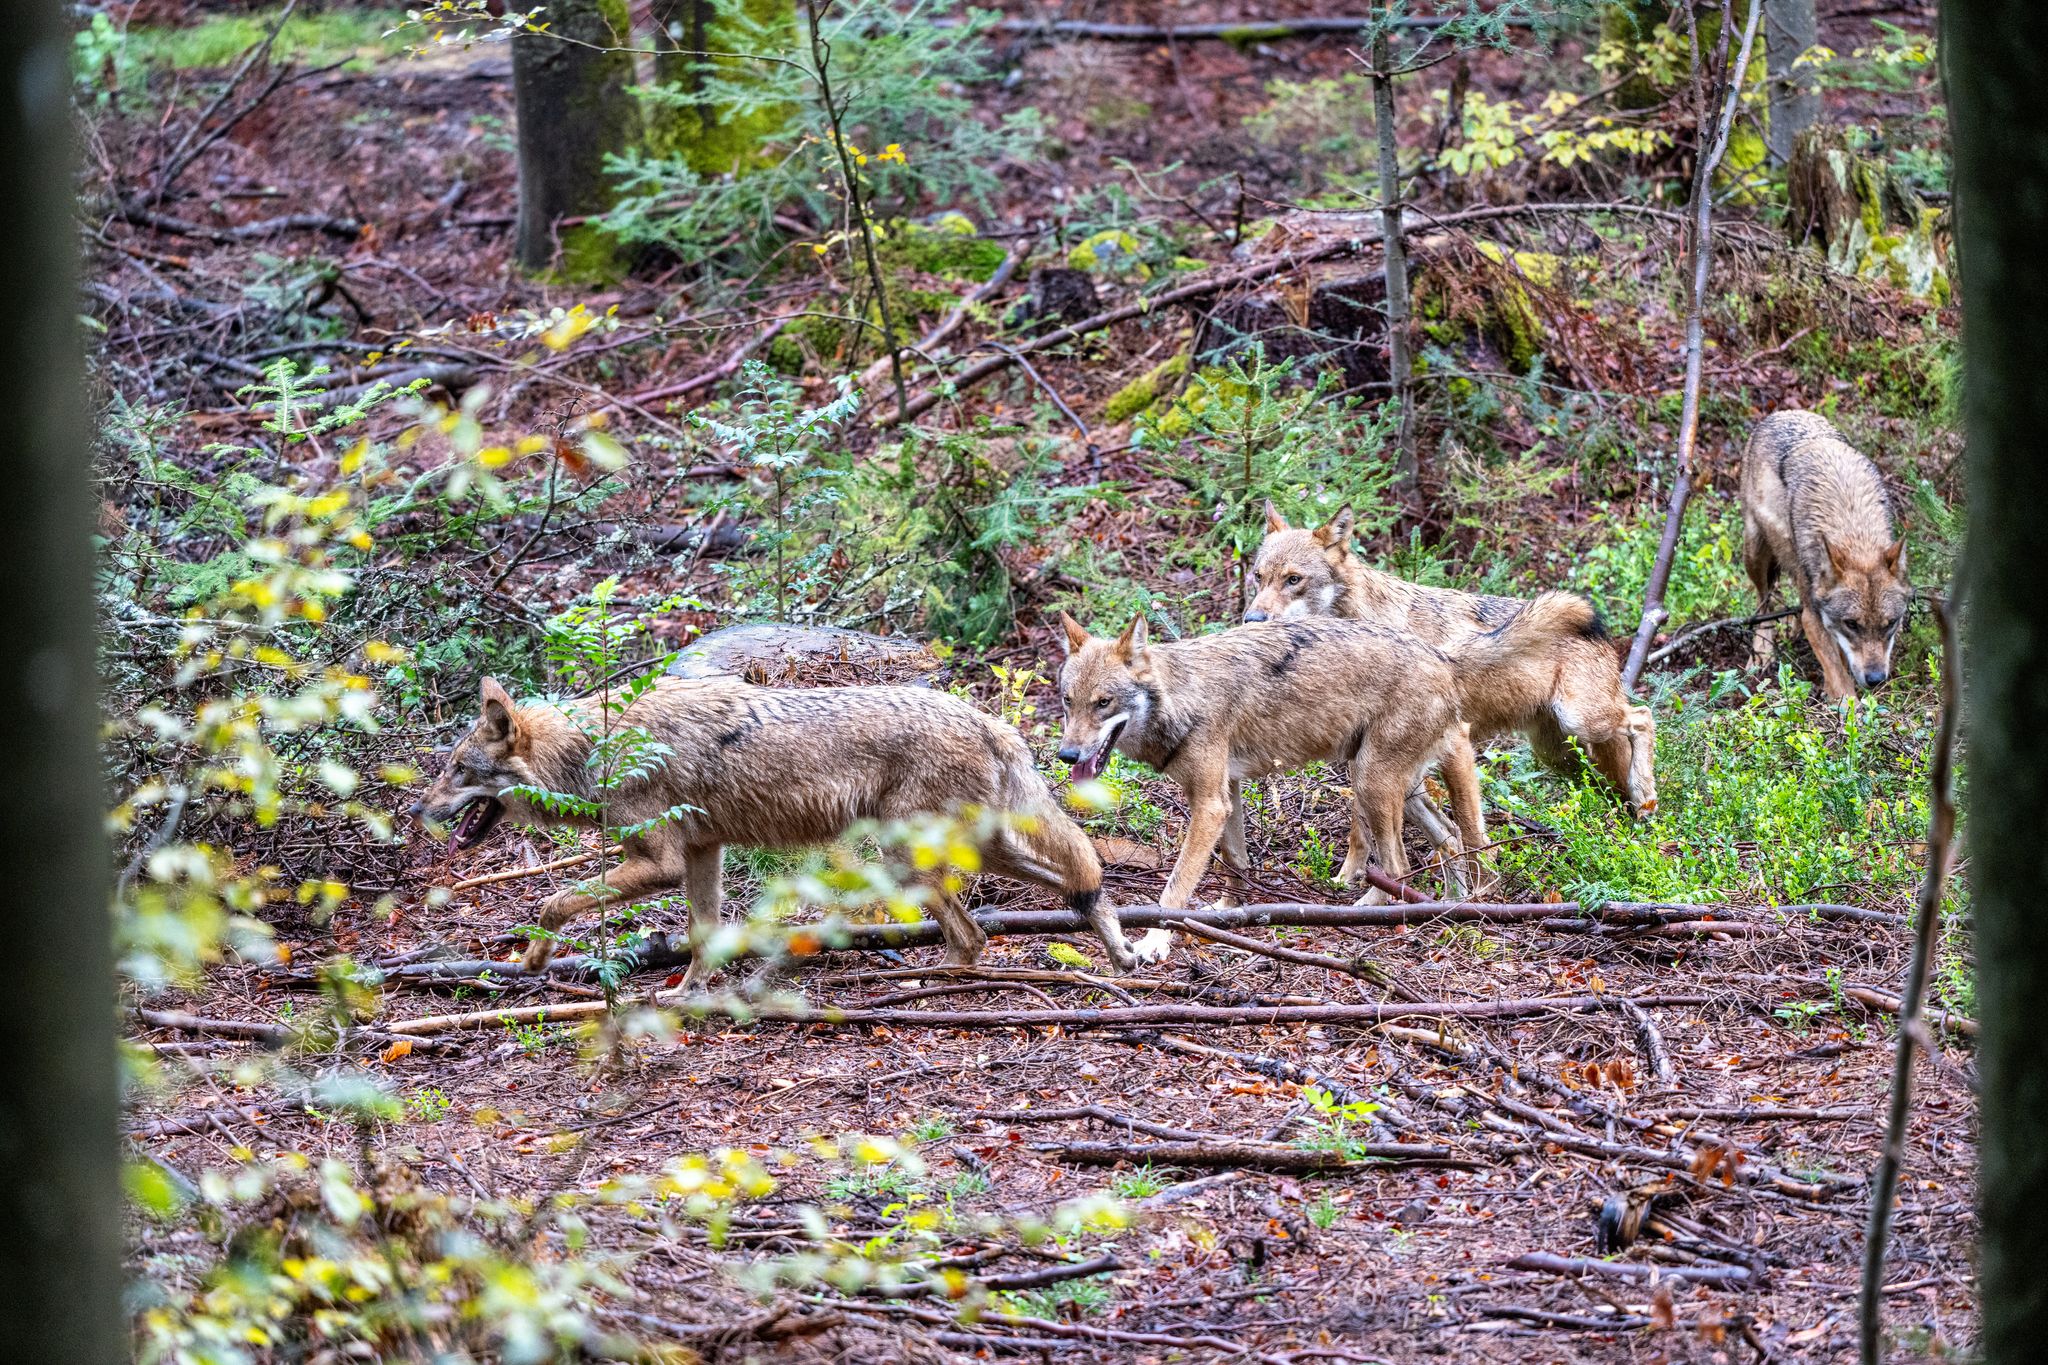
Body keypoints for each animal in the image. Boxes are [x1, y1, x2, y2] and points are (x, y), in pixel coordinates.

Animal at [415, 677, 1171, 985]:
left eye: (456, 770)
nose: (418, 812)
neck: (591, 750)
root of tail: (991, 720)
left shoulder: (661, 864)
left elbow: (549, 902)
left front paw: (533, 960)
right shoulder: (703, 854)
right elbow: (703, 936)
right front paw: (686, 996)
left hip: (908, 860)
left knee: (973, 936)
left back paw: (921, 983)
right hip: (976, 850)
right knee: (1080, 882)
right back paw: (1120, 953)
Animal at [1054, 613, 1489, 908]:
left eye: (1103, 702)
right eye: (1068, 701)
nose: (1067, 755)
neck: (1182, 698)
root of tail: (1444, 659)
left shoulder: (1209, 805)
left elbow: (1176, 887)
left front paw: (1153, 941)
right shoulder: (1227, 794)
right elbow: (1236, 862)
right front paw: (1227, 911)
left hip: (1371, 784)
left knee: (1397, 867)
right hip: (1390, 786)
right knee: (1450, 838)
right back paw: (1451, 907)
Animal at [1247, 504, 1657, 816]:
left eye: (1293, 579)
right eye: (1258, 577)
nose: (1251, 619)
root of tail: (1604, 640)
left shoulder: (1451, 739)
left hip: (1583, 722)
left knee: (1643, 716)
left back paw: (1645, 796)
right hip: (1558, 752)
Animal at [1740, 410, 1911, 700]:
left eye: (1890, 624)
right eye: (1852, 624)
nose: (1876, 679)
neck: (1851, 523)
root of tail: (1781, 413)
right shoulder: (1814, 616)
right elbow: (1839, 676)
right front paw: (1845, 703)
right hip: (1754, 552)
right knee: (1764, 601)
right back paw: (1763, 651)